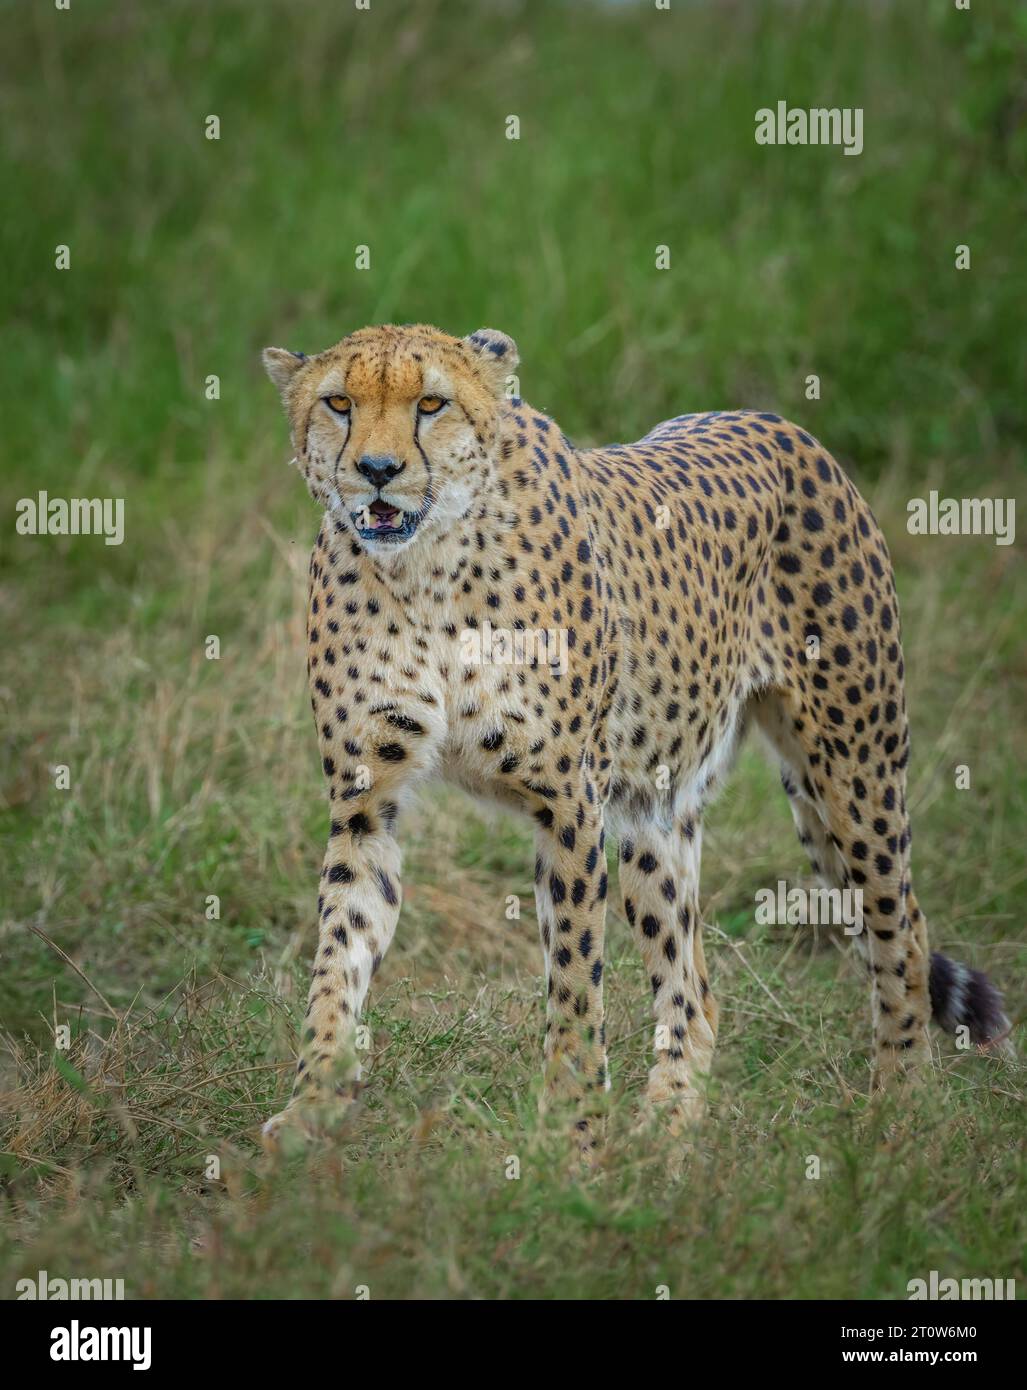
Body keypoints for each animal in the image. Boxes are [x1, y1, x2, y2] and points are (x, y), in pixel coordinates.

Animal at [261, 321, 1010, 1148]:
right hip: (658, 817)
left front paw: (572, 1130)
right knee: (696, 987)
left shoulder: (568, 803)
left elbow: (572, 977)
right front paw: (311, 1105)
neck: (425, 569)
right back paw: (667, 1125)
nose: (376, 471)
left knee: (901, 928)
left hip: (852, 777)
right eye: (338, 403)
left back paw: (899, 1102)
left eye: (431, 403)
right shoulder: (368, 803)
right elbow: (339, 957)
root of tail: (775, 422)